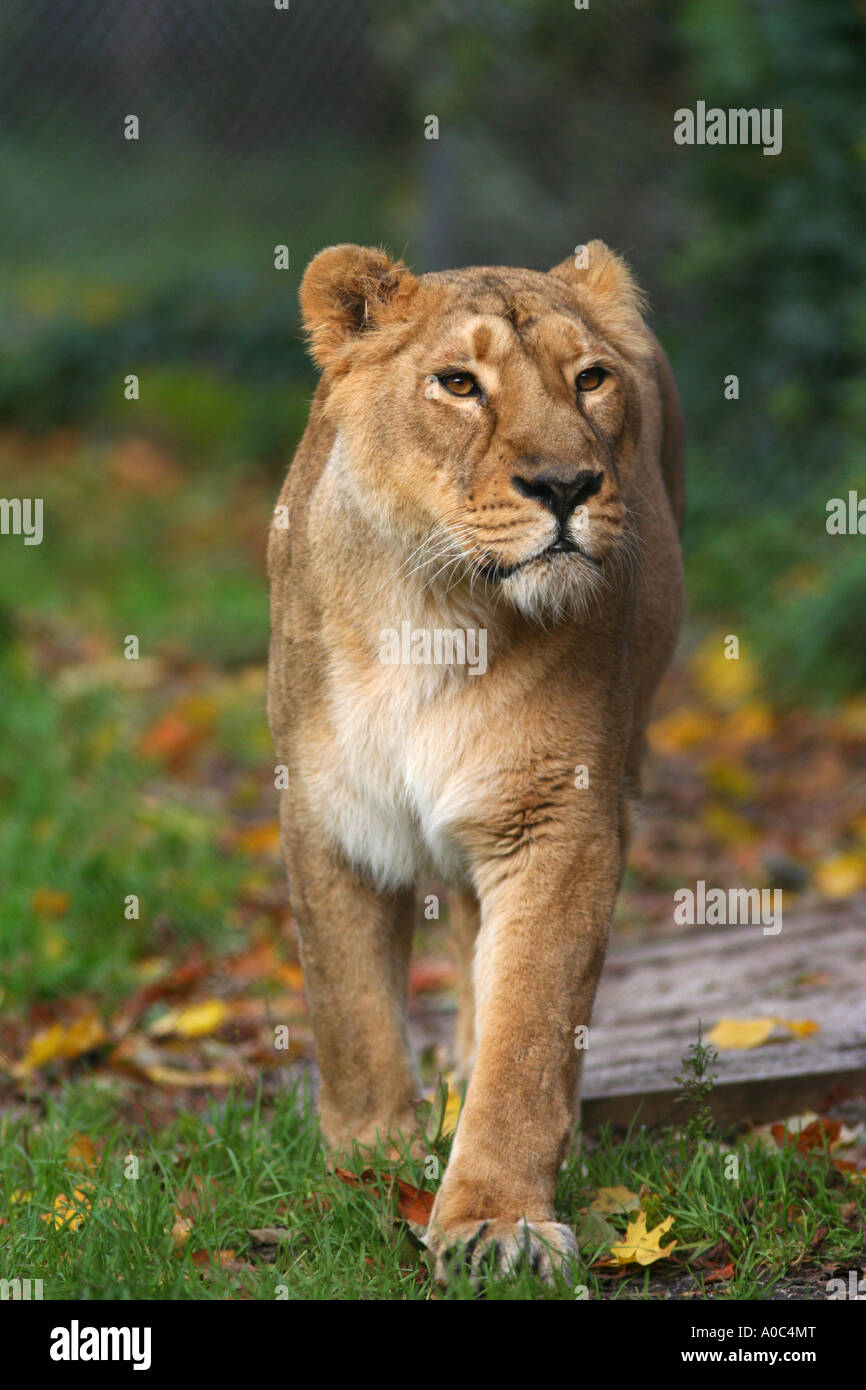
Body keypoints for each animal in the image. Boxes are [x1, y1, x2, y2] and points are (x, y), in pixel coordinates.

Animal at [267, 241, 685, 1284]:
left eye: (591, 379)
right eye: (459, 383)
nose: (567, 486)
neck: (437, 610)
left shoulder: (559, 820)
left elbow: (529, 1026)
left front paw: (495, 1219)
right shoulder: (327, 815)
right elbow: (350, 1013)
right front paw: (371, 1159)